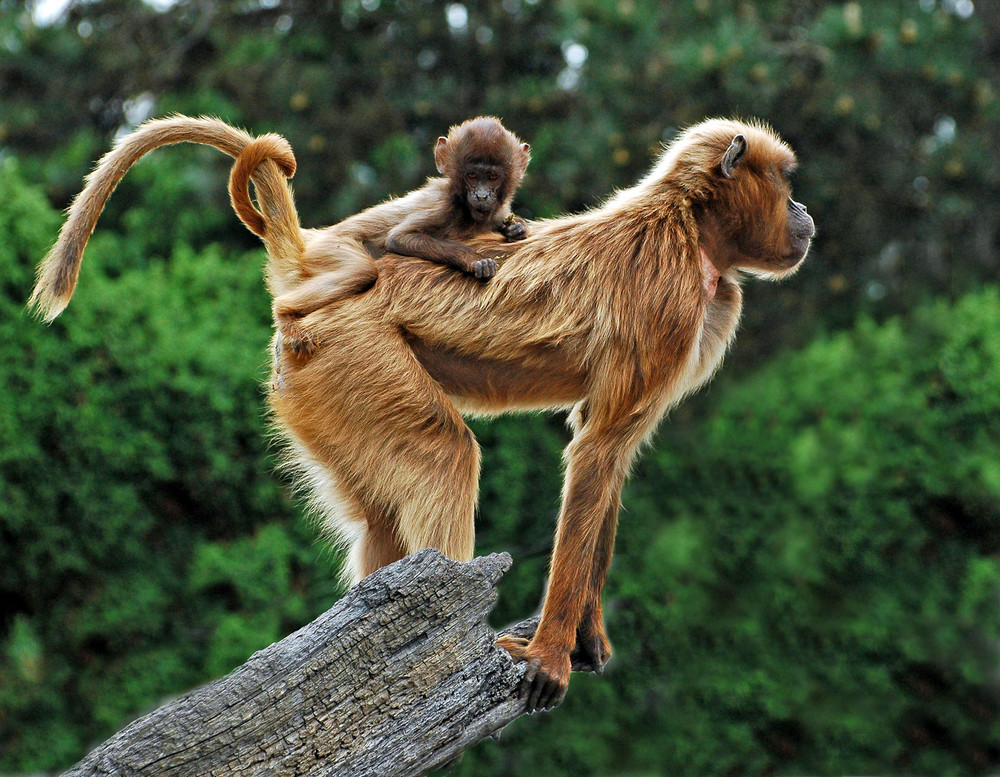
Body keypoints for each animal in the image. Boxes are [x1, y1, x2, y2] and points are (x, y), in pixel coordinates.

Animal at [228, 115, 531, 354]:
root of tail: (313, 238)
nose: (481, 195)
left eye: (492, 177)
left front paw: (514, 229)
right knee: (361, 270)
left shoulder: (496, 210)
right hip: (329, 248)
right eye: (472, 176)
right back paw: (285, 312)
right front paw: (473, 259)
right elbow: (400, 238)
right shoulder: (444, 204)